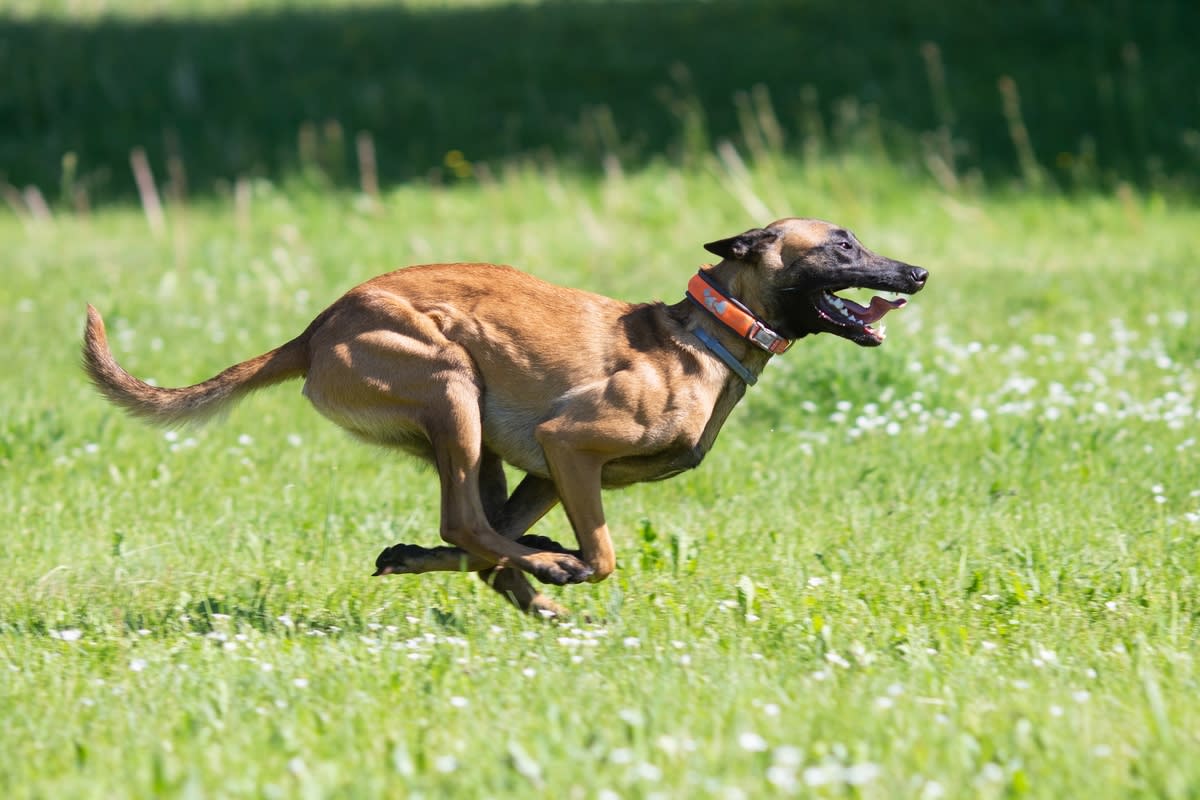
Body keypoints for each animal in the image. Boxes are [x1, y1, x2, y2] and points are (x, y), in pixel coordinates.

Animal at [83, 217, 927, 617]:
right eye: (841, 246)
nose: (916, 271)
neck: (704, 337)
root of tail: (317, 330)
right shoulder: (569, 445)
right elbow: (603, 555)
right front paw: (570, 564)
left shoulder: (548, 473)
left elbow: (496, 544)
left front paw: (436, 559)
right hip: (449, 386)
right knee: (465, 523)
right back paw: (547, 574)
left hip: (473, 434)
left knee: (477, 537)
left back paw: (512, 579)